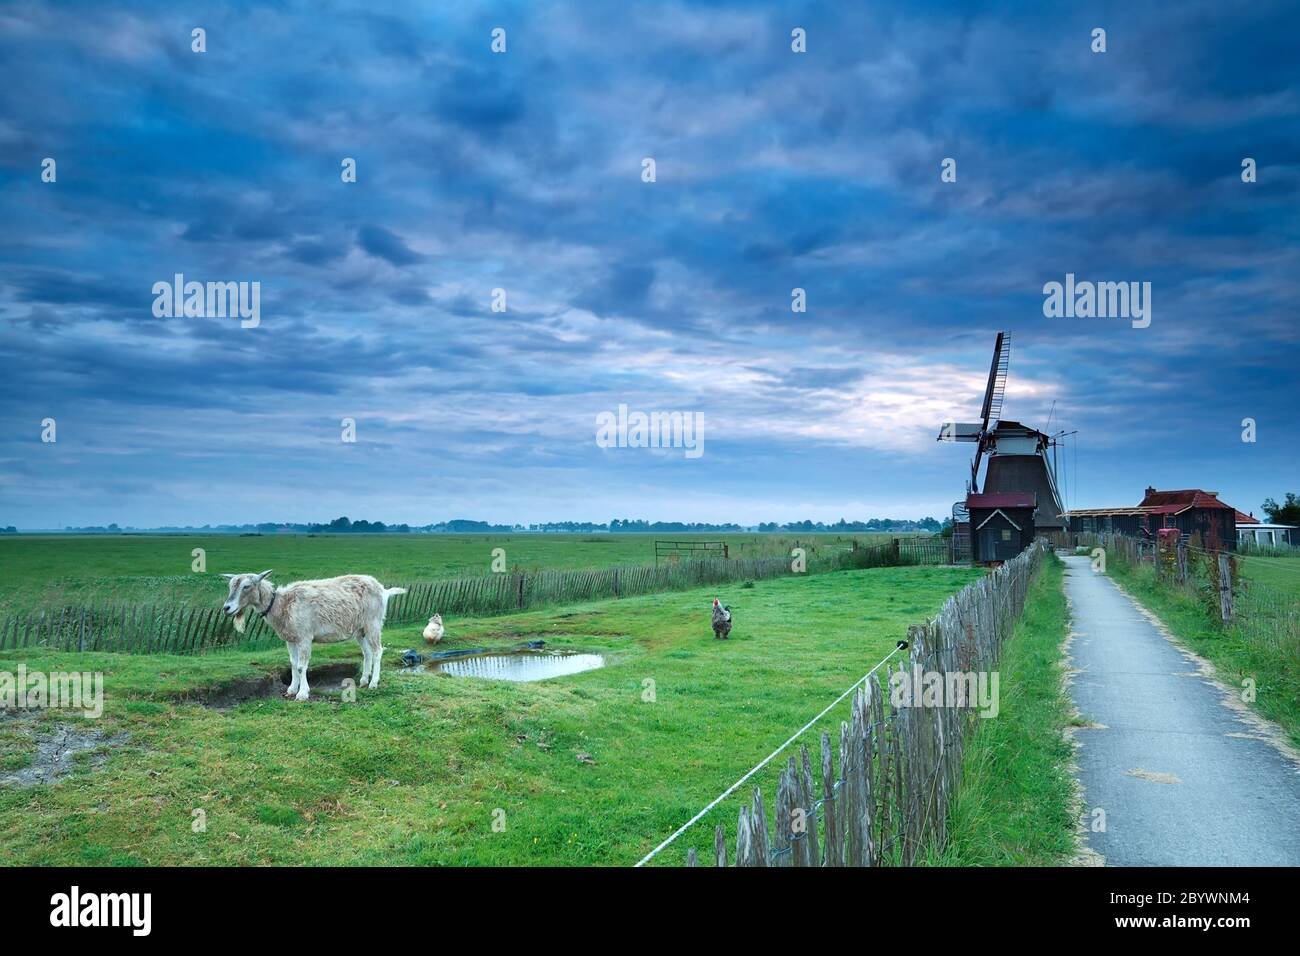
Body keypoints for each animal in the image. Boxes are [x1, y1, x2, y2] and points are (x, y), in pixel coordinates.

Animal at [221, 570, 406, 701]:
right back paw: (363, 680)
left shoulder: (304, 637)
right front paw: (291, 689)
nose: (226, 608)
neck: (281, 604)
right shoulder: (290, 639)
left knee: (377, 651)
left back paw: (374, 683)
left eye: (246, 586)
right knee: (367, 653)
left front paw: (302, 693)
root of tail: (383, 590)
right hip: (360, 629)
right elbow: (293, 663)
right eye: (230, 586)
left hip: (373, 623)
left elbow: (301, 666)